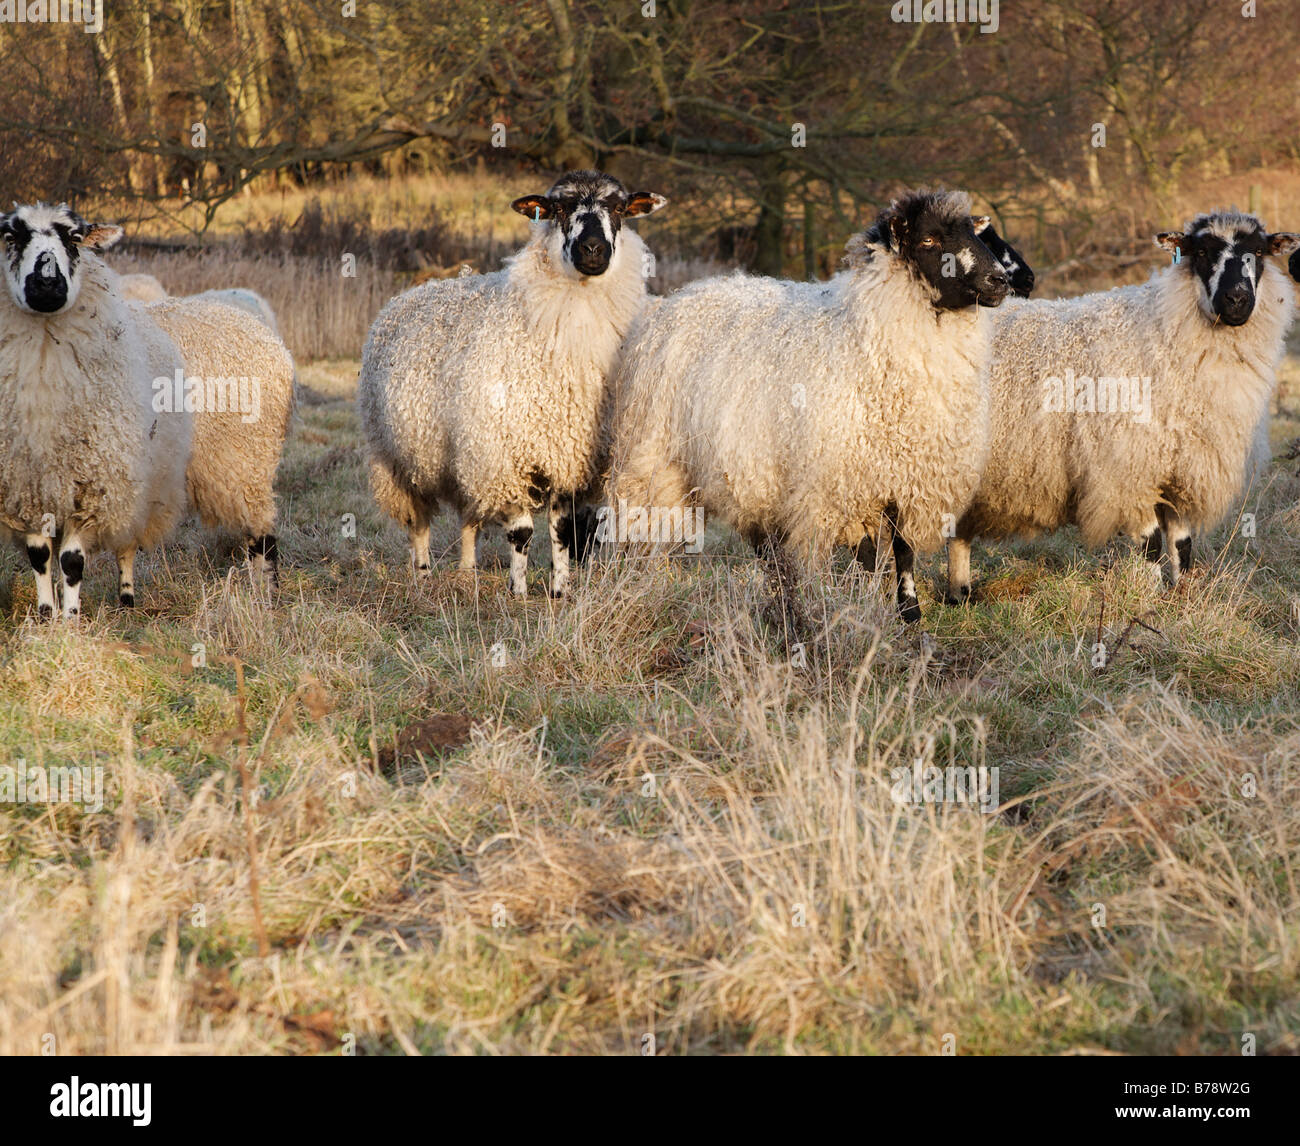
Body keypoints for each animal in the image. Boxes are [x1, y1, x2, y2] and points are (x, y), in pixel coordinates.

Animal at [0, 203, 192, 618]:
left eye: (75, 237)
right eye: (11, 236)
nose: (46, 284)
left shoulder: (92, 487)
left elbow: (73, 560)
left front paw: (71, 619)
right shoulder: (26, 485)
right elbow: (41, 557)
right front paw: (47, 615)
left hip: (134, 492)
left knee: (126, 547)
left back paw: (127, 598)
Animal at [359, 170, 666, 598]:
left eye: (620, 208)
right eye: (559, 208)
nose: (592, 249)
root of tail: (408, 294)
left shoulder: (569, 456)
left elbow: (562, 531)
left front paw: (559, 590)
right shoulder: (504, 456)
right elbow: (521, 532)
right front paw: (518, 592)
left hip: (463, 457)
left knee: (469, 517)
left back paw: (466, 572)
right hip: (398, 457)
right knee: (417, 522)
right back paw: (422, 574)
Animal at [606, 188, 1011, 624]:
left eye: (973, 234)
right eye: (929, 240)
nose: (1000, 279)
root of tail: (677, 298)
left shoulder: (905, 475)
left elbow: (901, 550)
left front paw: (906, 612)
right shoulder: (837, 479)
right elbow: (857, 554)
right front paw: (851, 607)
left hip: (755, 471)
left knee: (766, 547)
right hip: (657, 460)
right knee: (646, 528)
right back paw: (641, 585)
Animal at [945, 210, 1300, 604]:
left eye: (1259, 252)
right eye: (1202, 252)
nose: (1236, 299)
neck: (1160, 334)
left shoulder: (1180, 470)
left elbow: (1182, 544)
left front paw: (1181, 595)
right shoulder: (1129, 468)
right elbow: (1152, 544)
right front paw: (1149, 601)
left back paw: (960, 595)